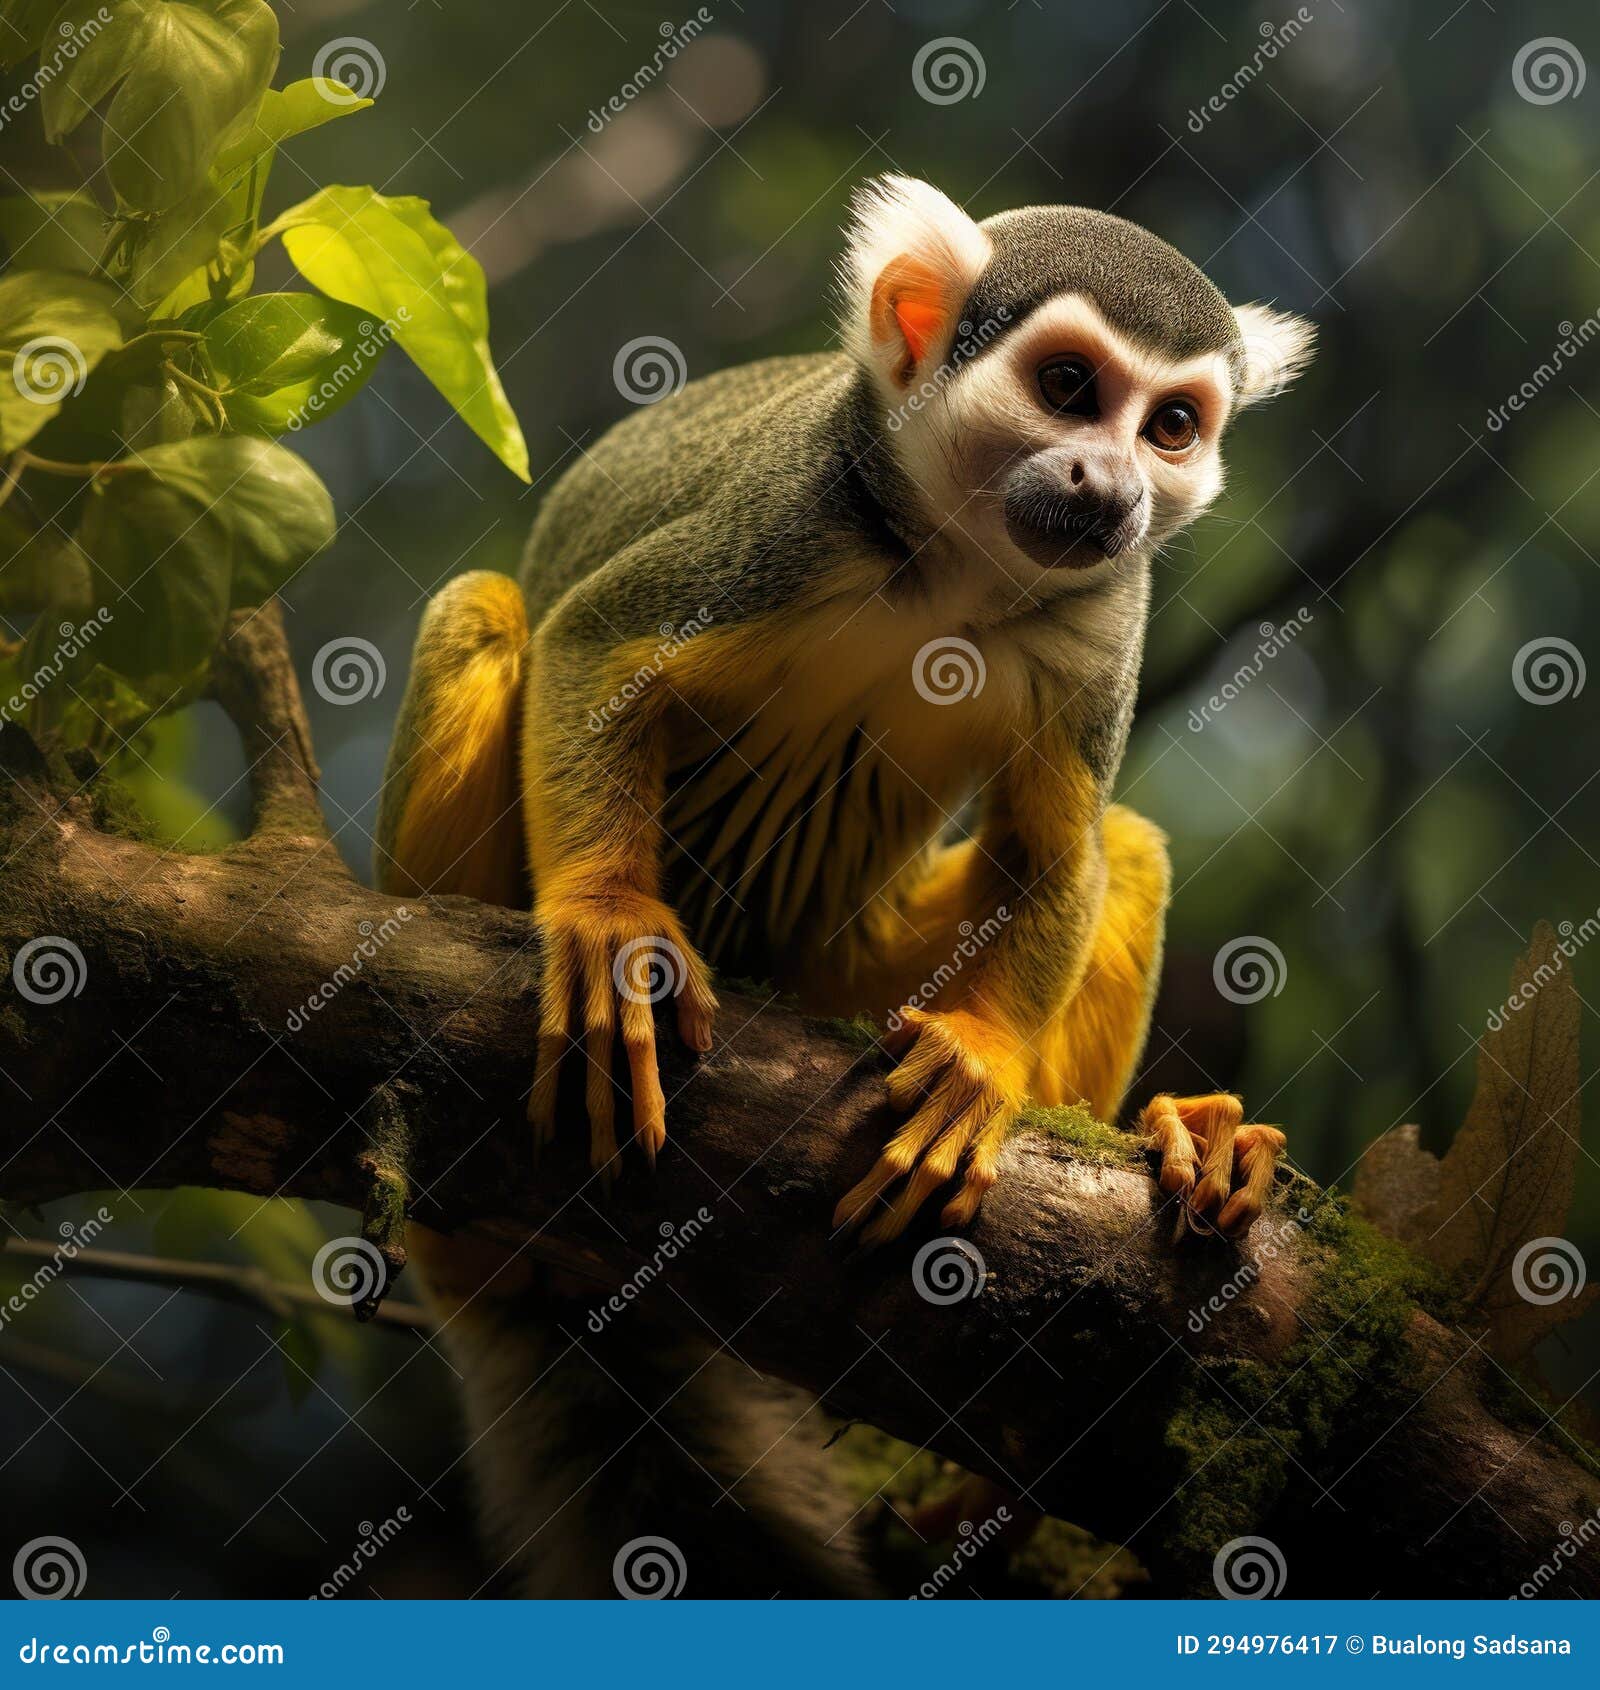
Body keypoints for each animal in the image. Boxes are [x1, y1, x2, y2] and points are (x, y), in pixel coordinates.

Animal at [375, 176, 1311, 1596]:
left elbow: (1056, 852)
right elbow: (601, 642)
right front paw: (607, 925)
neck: (956, 564)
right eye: (1068, 386)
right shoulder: (790, 518)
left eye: (1170, 426)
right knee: (490, 609)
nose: (1109, 483)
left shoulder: (1106, 610)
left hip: (843, 962)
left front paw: (981, 1060)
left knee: (1124, 848)